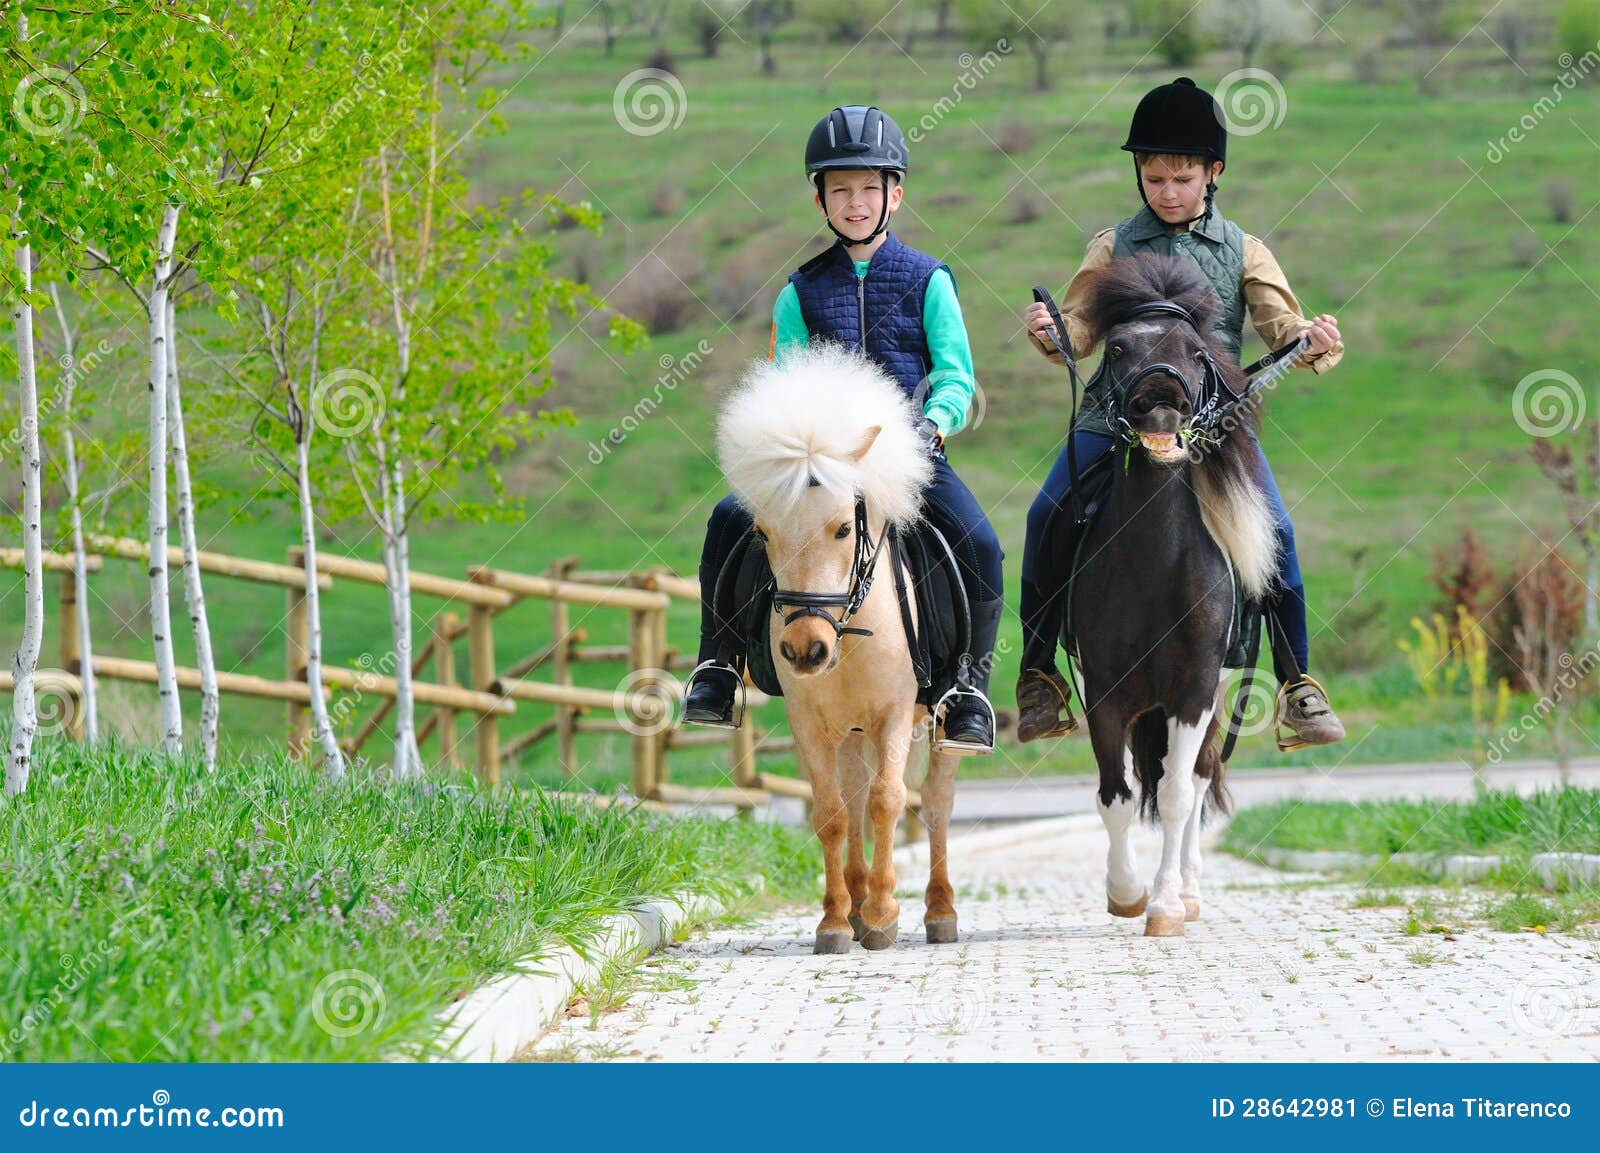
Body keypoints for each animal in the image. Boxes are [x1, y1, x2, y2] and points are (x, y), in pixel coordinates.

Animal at [716, 344, 962, 954]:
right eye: (763, 532)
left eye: (842, 530)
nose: (806, 649)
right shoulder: (808, 718)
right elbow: (832, 813)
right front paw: (835, 920)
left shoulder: (895, 712)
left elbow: (888, 800)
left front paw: (881, 914)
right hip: (848, 727)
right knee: (853, 794)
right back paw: (854, 902)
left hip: (937, 720)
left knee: (935, 800)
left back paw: (938, 910)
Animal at [1053, 255, 1279, 937]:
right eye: (1119, 348)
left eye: (1195, 351)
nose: (1161, 399)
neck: (1153, 562)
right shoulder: (1104, 692)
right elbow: (1115, 796)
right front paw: (1126, 893)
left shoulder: (1195, 690)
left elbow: (1179, 796)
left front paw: (1166, 906)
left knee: (1200, 781)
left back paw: (1191, 889)